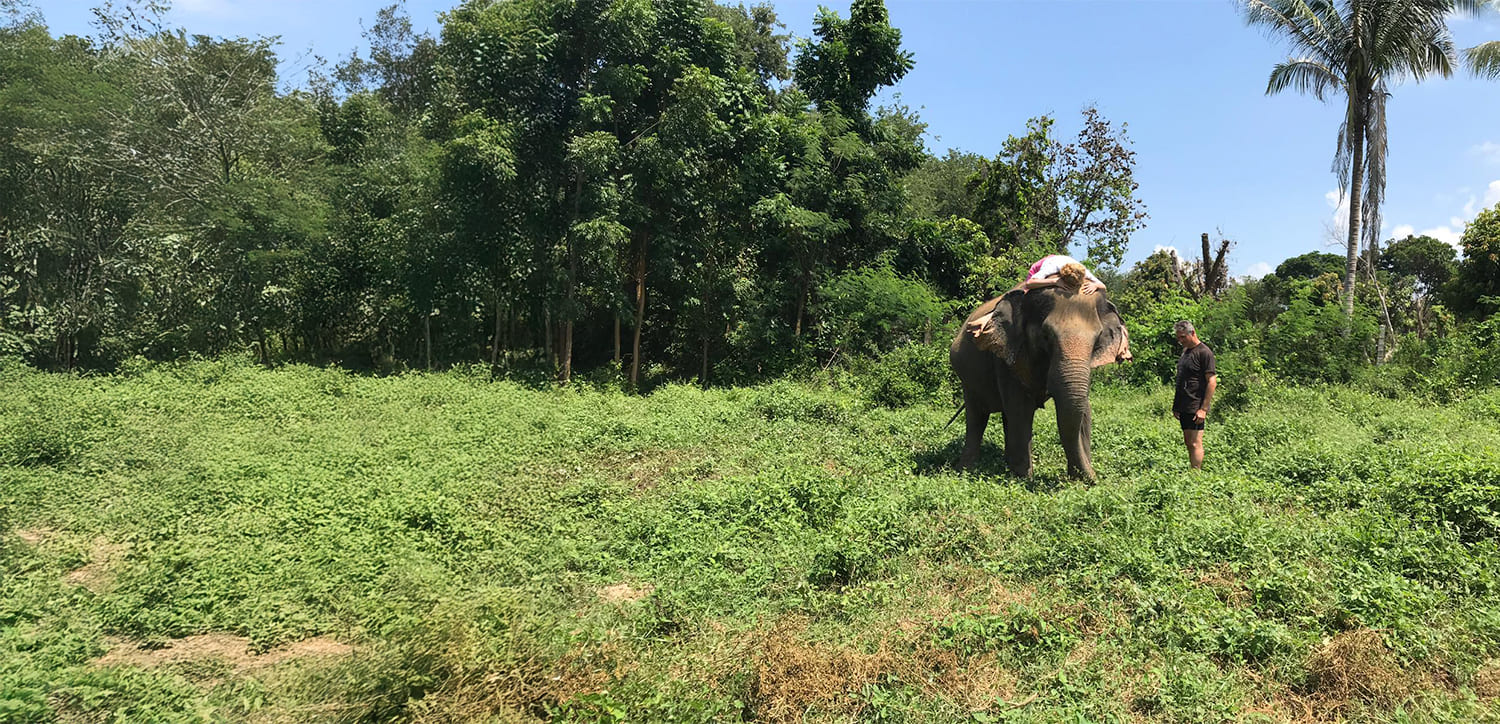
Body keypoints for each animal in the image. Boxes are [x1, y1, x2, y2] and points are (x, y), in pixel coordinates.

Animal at [949, 285, 1132, 479]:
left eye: (1097, 339)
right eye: (1046, 336)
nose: (1095, 479)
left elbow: (1083, 409)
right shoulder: (1006, 360)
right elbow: (1021, 410)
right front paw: (1024, 479)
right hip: (967, 380)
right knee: (977, 418)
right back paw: (965, 470)